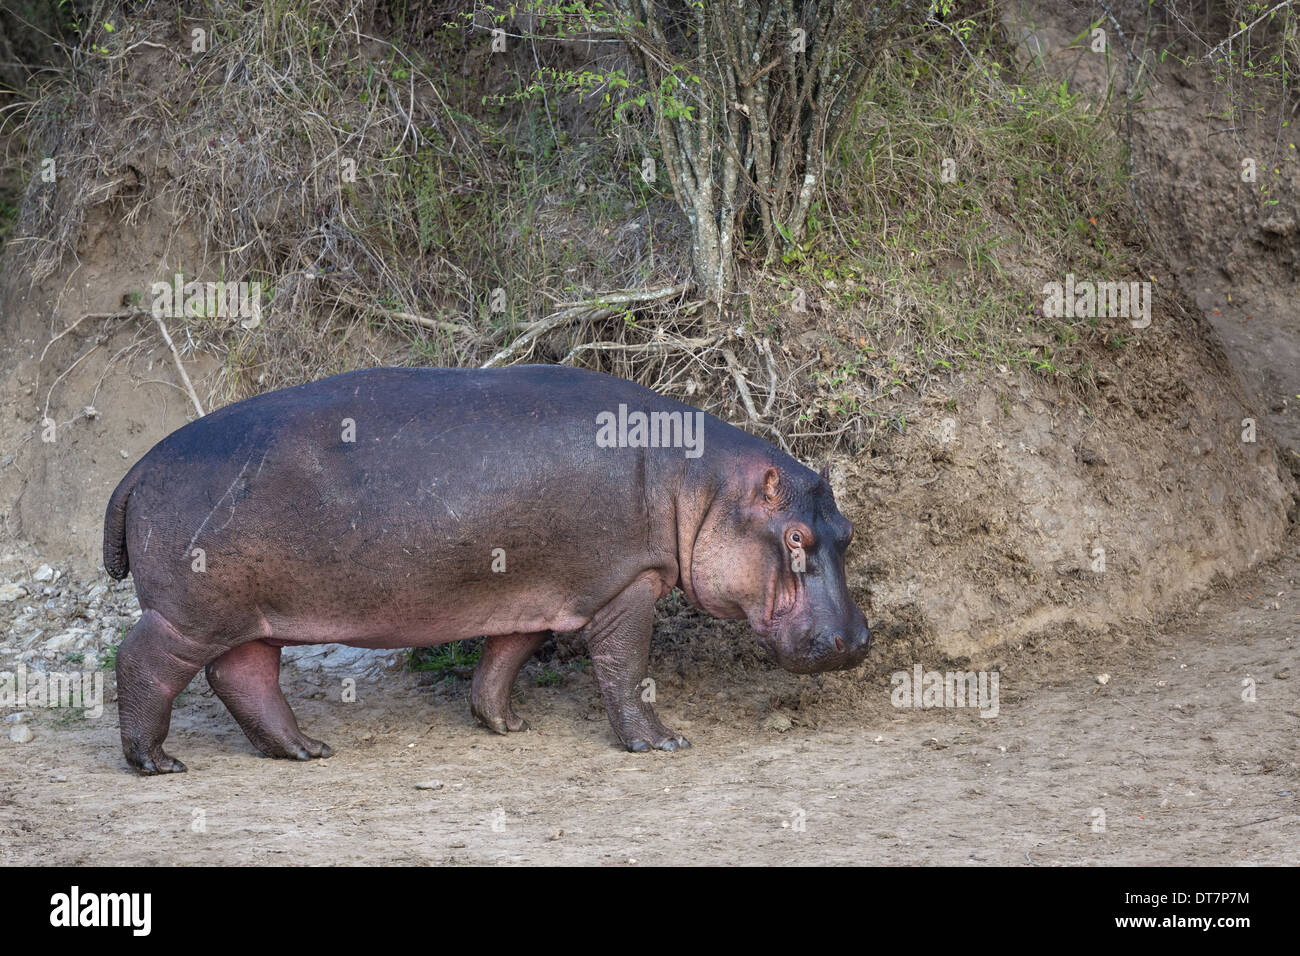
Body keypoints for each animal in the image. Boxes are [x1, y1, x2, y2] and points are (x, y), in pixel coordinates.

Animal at [103, 365, 871, 774]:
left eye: (847, 531)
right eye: (796, 535)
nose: (857, 640)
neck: (702, 486)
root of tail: (136, 468)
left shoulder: (531, 592)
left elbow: (504, 658)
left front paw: (505, 726)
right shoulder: (625, 585)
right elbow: (623, 668)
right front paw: (662, 743)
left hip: (250, 613)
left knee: (245, 676)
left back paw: (309, 750)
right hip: (189, 614)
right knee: (142, 662)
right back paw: (157, 763)